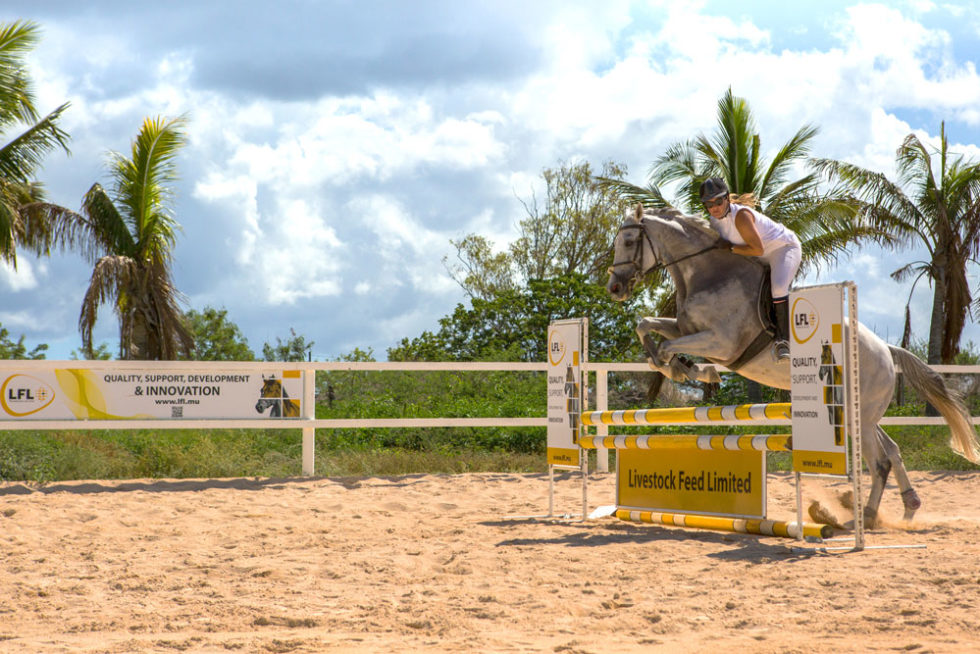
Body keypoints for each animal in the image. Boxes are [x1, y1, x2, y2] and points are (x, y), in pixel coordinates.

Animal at [606, 205, 980, 524]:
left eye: (629, 241)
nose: (615, 287)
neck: (708, 274)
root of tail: (887, 350)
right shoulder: (686, 329)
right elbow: (646, 326)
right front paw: (683, 367)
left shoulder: (721, 343)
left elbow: (667, 346)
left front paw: (685, 368)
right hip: (861, 412)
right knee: (892, 449)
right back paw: (908, 506)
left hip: (857, 412)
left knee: (880, 461)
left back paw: (865, 518)